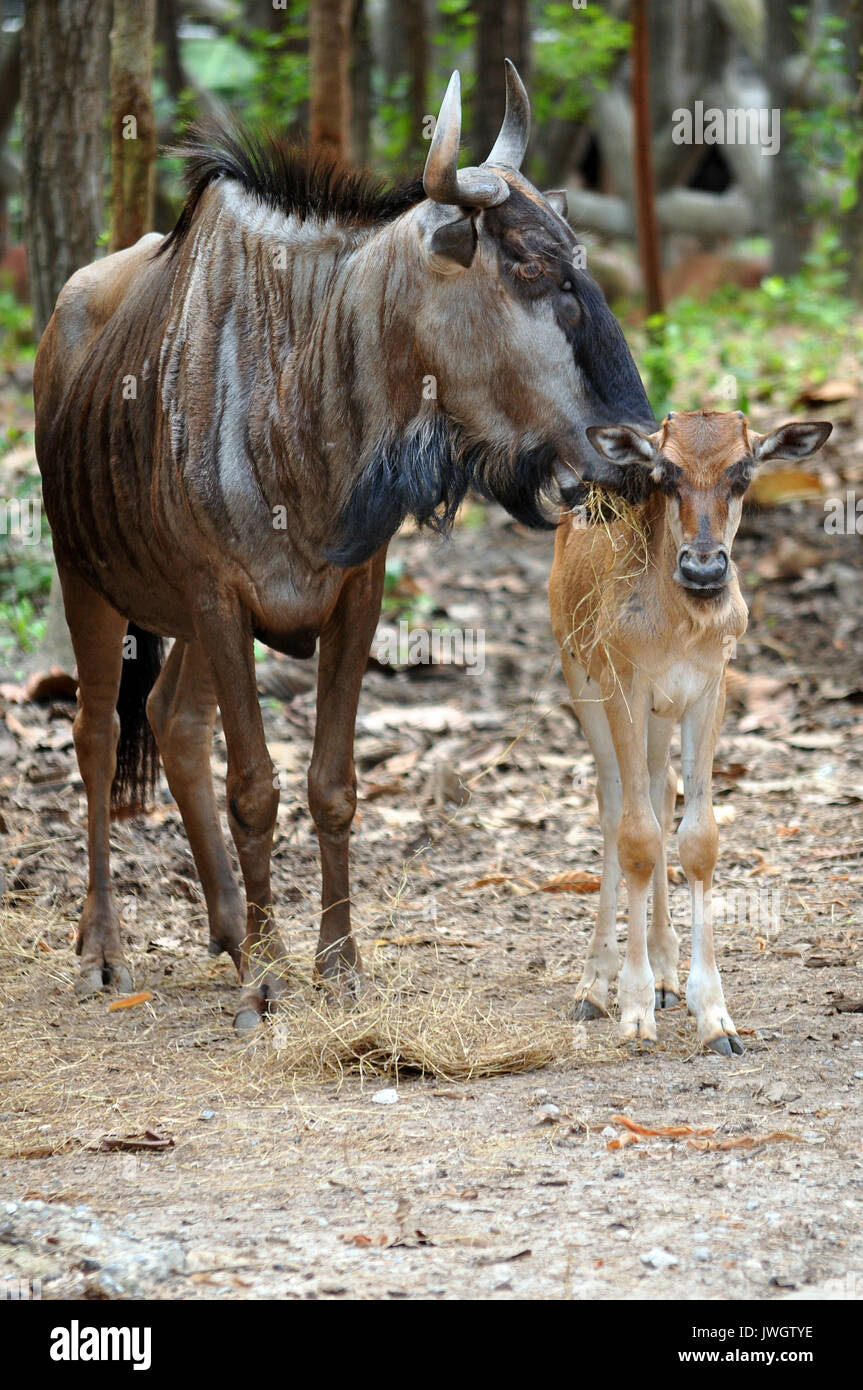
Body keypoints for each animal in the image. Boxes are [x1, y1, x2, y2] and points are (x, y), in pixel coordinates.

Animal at [34, 62, 654, 1029]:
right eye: (527, 266)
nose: (636, 448)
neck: (302, 392)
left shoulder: (351, 594)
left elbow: (331, 785)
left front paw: (336, 965)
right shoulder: (217, 597)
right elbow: (254, 789)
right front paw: (266, 984)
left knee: (173, 721)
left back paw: (231, 929)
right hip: (86, 580)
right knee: (98, 736)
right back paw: (106, 948)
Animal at [549, 410, 831, 1054]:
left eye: (743, 472)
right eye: (666, 472)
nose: (704, 568)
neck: (679, 626)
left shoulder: (708, 688)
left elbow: (697, 838)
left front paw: (715, 1017)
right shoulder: (624, 682)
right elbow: (635, 838)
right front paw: (632, 1012)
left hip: (661, 716)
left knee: (659, 789)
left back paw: (665, 973)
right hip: (581, 677)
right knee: (614, 802)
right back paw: (594, 985)